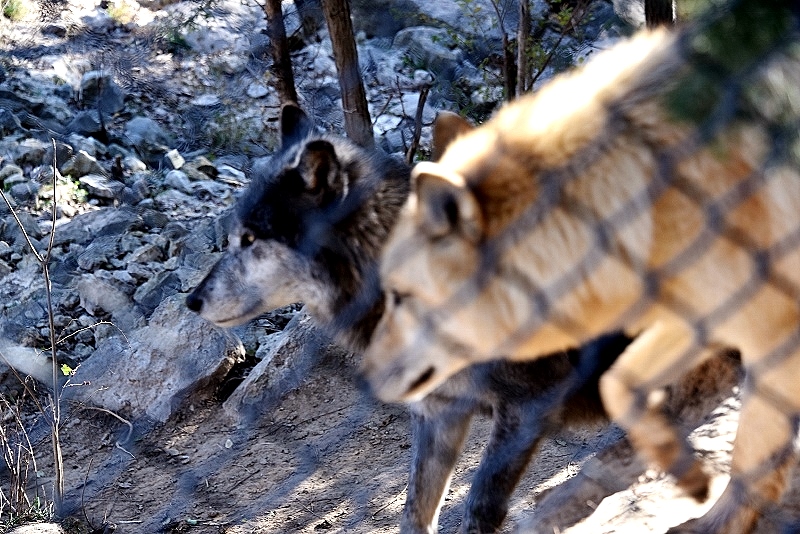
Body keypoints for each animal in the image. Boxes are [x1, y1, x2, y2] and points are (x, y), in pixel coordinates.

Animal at [185, 104, 740, 532]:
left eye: (251, 239)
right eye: (232, 235)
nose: (191, 301)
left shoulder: (528, 407)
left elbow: (478, 508)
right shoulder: (441, 412)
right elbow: (415, 512)